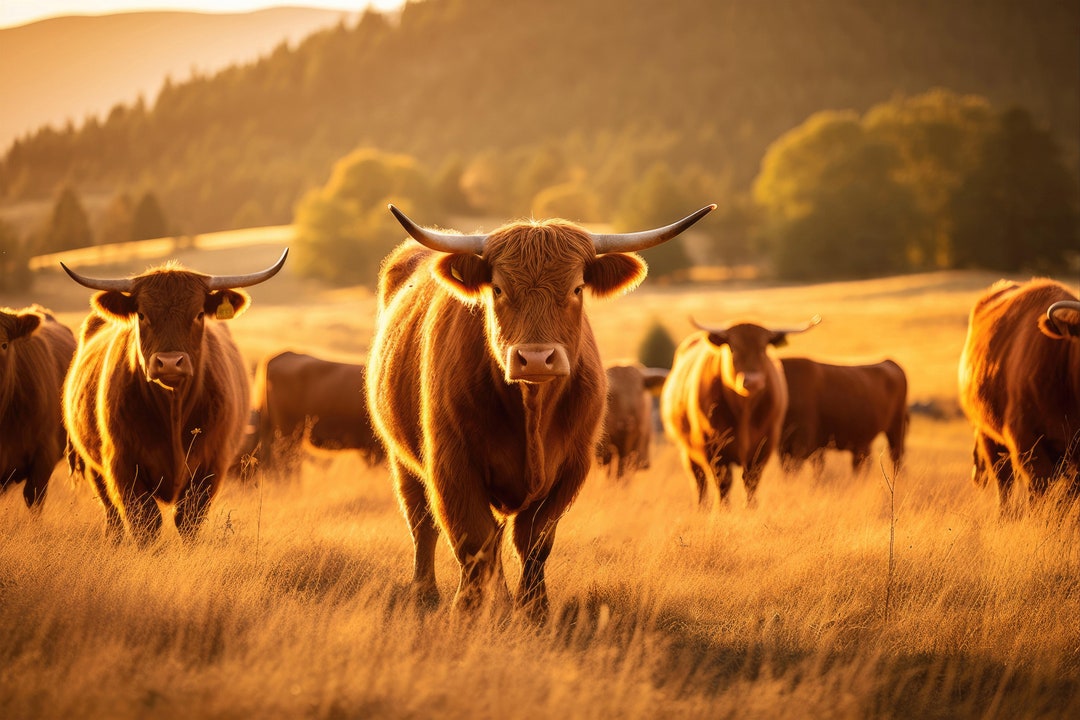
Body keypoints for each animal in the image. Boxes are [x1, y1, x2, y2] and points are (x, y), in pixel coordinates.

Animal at [60, 251, 287, 545]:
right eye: (142, 314)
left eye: (199, 313)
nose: (169, 363)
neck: (173, 408)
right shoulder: (122, 465)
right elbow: (146, 523)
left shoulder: (210, 465)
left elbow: (188, 520)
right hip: (94, 467)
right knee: (112, 513)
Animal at [367, 203, 714, 619]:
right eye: (498, 288)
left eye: (577, 288)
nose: (535, 358)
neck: (531, 410)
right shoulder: (452, 465)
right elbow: (472, 540)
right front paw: (469, 611)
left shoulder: (570, 468)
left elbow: (533, 542)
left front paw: (534, 610)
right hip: (400, 458)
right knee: (423, 524)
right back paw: (425, 593)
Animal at [661, 316, 819, 508]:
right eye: (733, 347)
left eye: (764, 348)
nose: (753, 381)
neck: (744, 409)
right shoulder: (714, 447)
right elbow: (723, 483)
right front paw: (724, 510)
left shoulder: (764, 446)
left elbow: (751, 480)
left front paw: (751, 508)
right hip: (687, 450)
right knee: (699, 481)